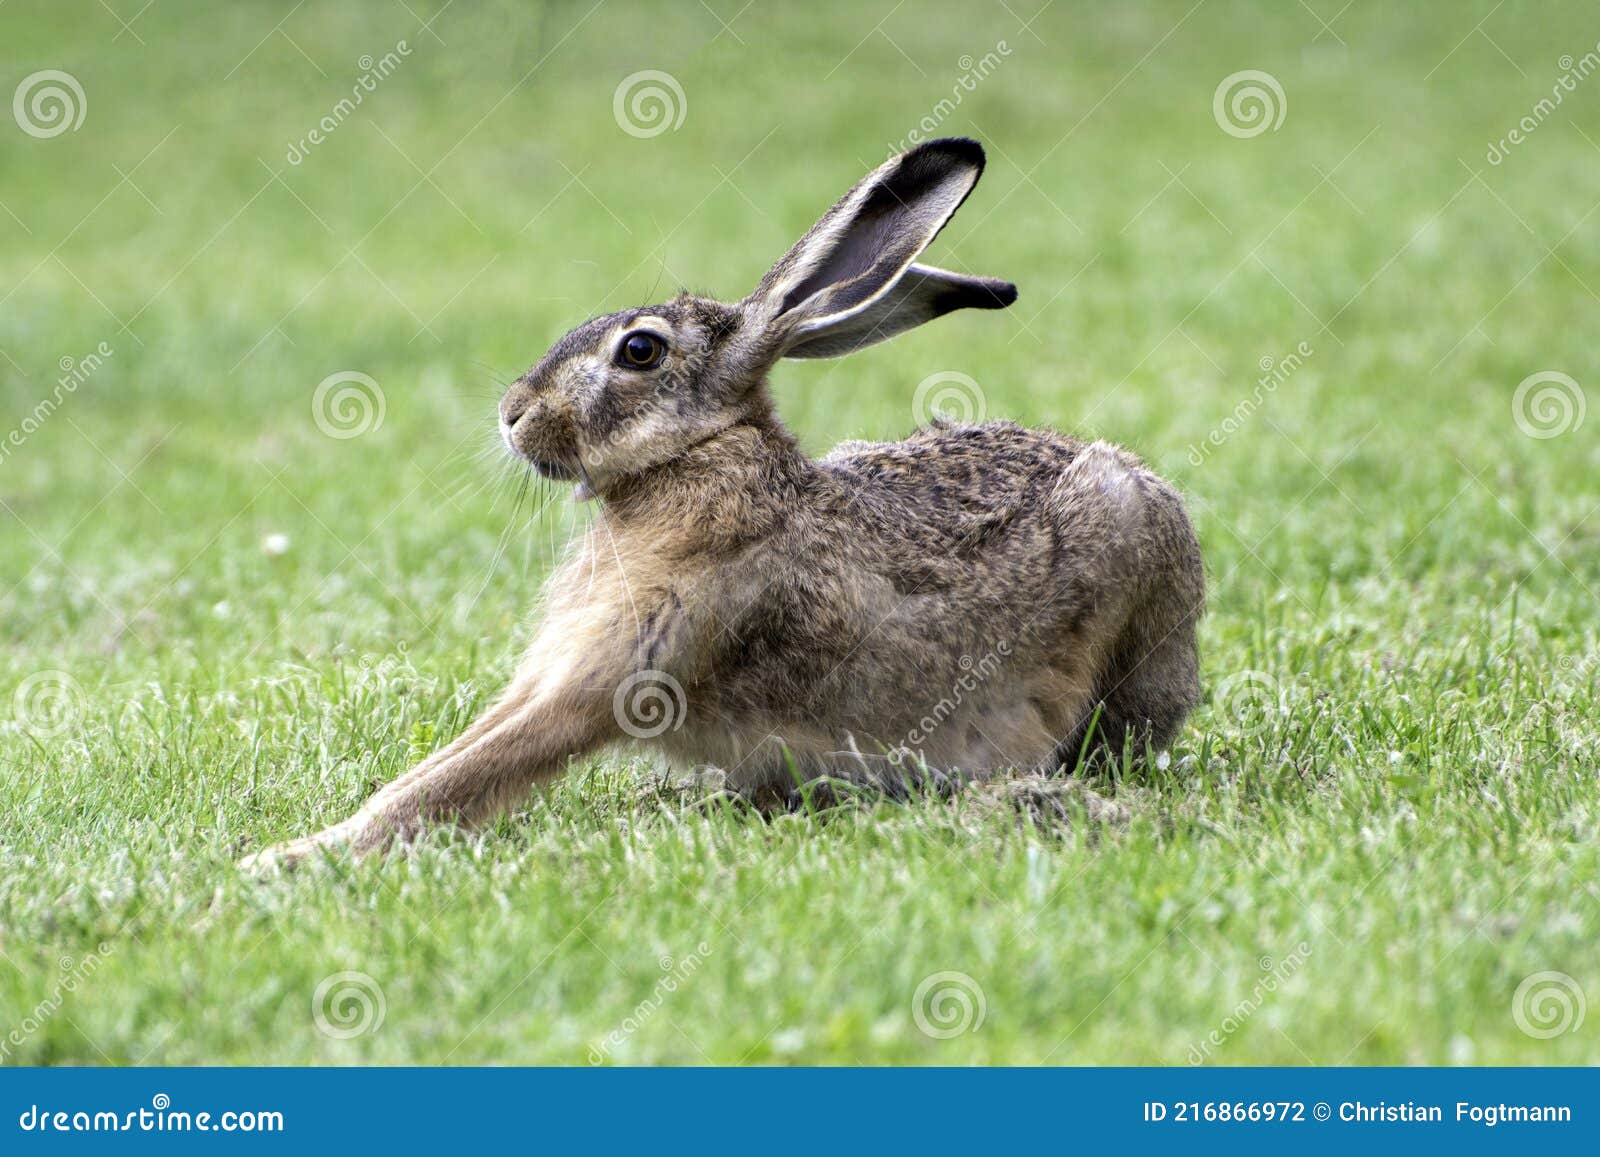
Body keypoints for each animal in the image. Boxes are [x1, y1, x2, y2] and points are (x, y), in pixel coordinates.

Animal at [241, 137, 1203, 870]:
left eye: (639, 351)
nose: (512, 413)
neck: (691, 466)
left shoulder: (614, 676)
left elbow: (452, 782)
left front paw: (279, 862)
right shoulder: (553, 671)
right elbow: (439, 763)